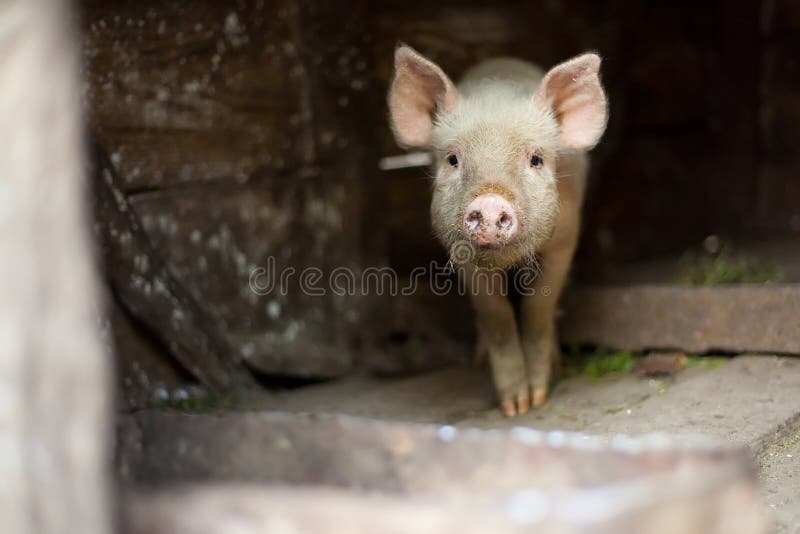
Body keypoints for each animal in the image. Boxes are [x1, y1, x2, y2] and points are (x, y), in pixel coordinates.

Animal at [388, 45, 608, 416]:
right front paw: (514, 408)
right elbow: (496, 316)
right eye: (452, 159)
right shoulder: (461, 256)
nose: (490, 202)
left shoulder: (564, 240)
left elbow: (538, 308)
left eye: (536, 159)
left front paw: (537, 398)